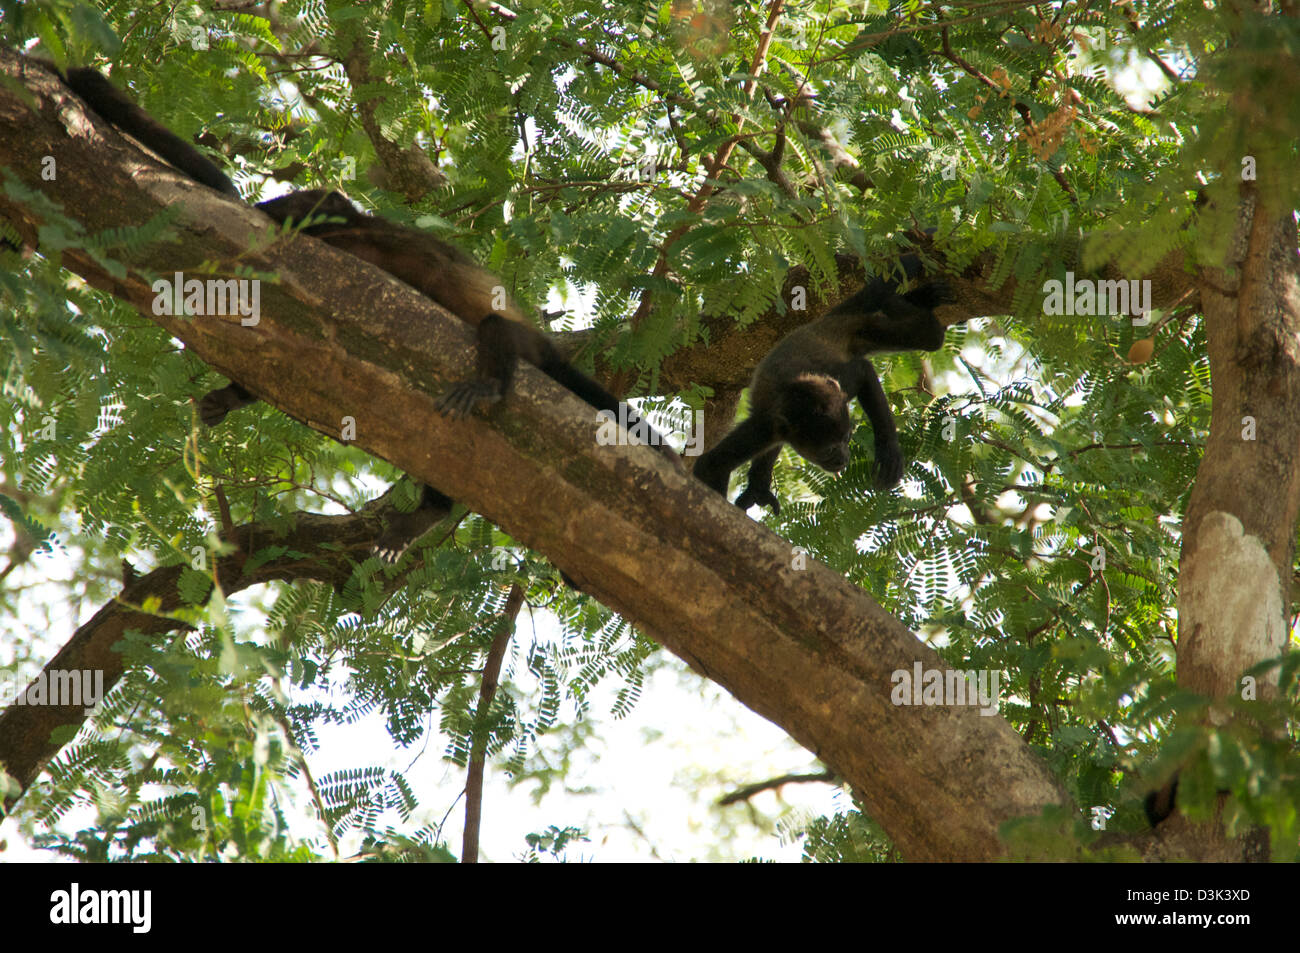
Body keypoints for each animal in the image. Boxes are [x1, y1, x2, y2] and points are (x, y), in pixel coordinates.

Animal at [693, 271, 949, 514]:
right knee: (930, 336)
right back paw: (759, 488)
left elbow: (863, 370)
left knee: (930, 337)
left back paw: (902, 300)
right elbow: (711, 465)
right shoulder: (766, 427)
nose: (844, 457)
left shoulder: (838, 389)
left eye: (847, 438)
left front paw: (889, 451)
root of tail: (822, 323)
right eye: (829, 451)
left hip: (858, 330)